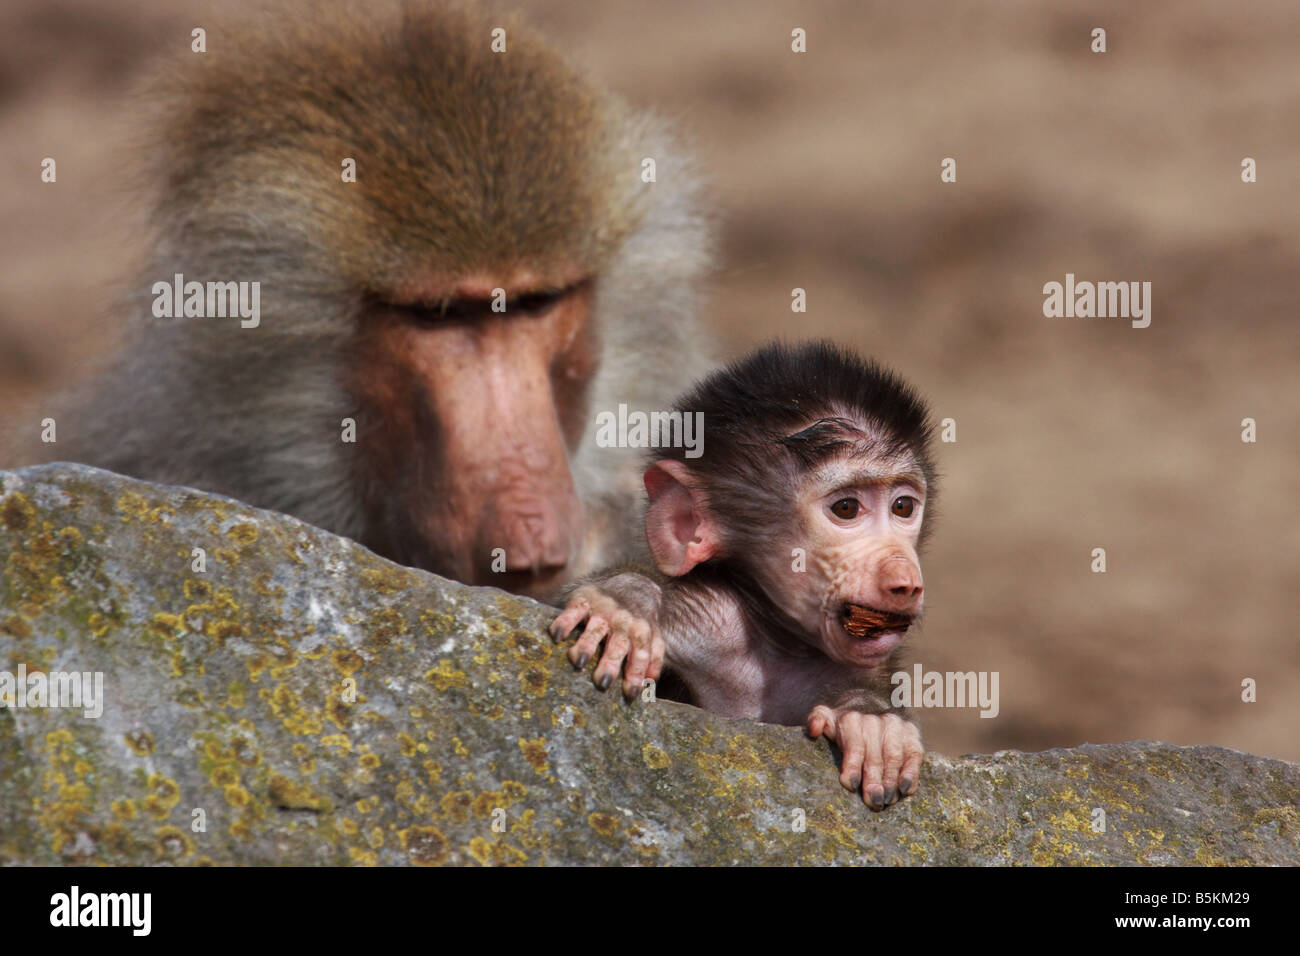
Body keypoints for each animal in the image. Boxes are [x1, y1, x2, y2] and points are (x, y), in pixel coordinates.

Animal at [550, 341, 936, 809]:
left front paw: (871, 720)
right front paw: (624, 604)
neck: (780, 646)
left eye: (902, 507)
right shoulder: (714, 621)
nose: (904, 579)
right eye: (846, 508)